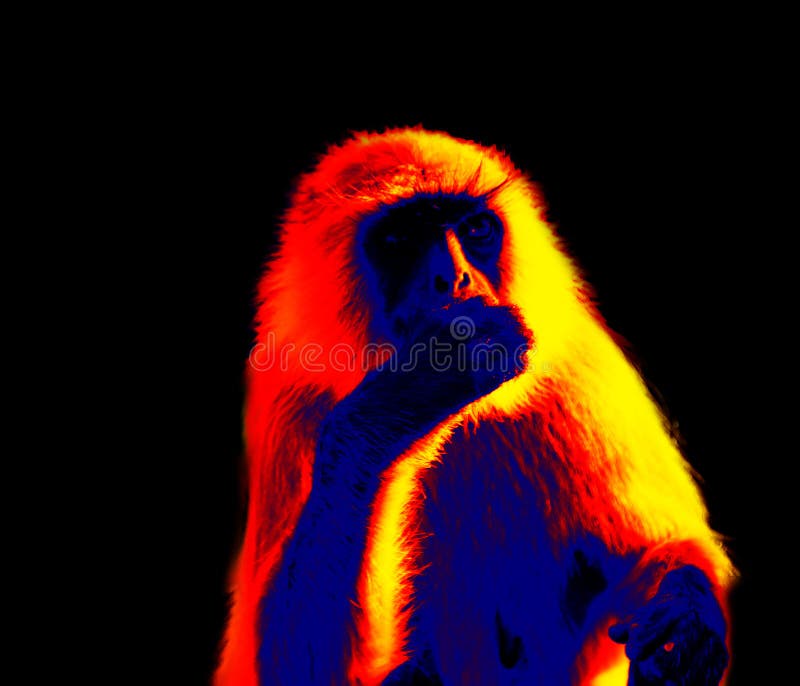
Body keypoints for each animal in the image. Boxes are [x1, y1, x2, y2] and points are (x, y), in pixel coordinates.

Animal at [215, 128, 735, 685]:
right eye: (402, 239)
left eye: (477, 229)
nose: (457, 279)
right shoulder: (290, 399)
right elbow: (293, 671)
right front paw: (414, 391)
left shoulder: (574, 361)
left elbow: (659, 550)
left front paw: (685, 618)